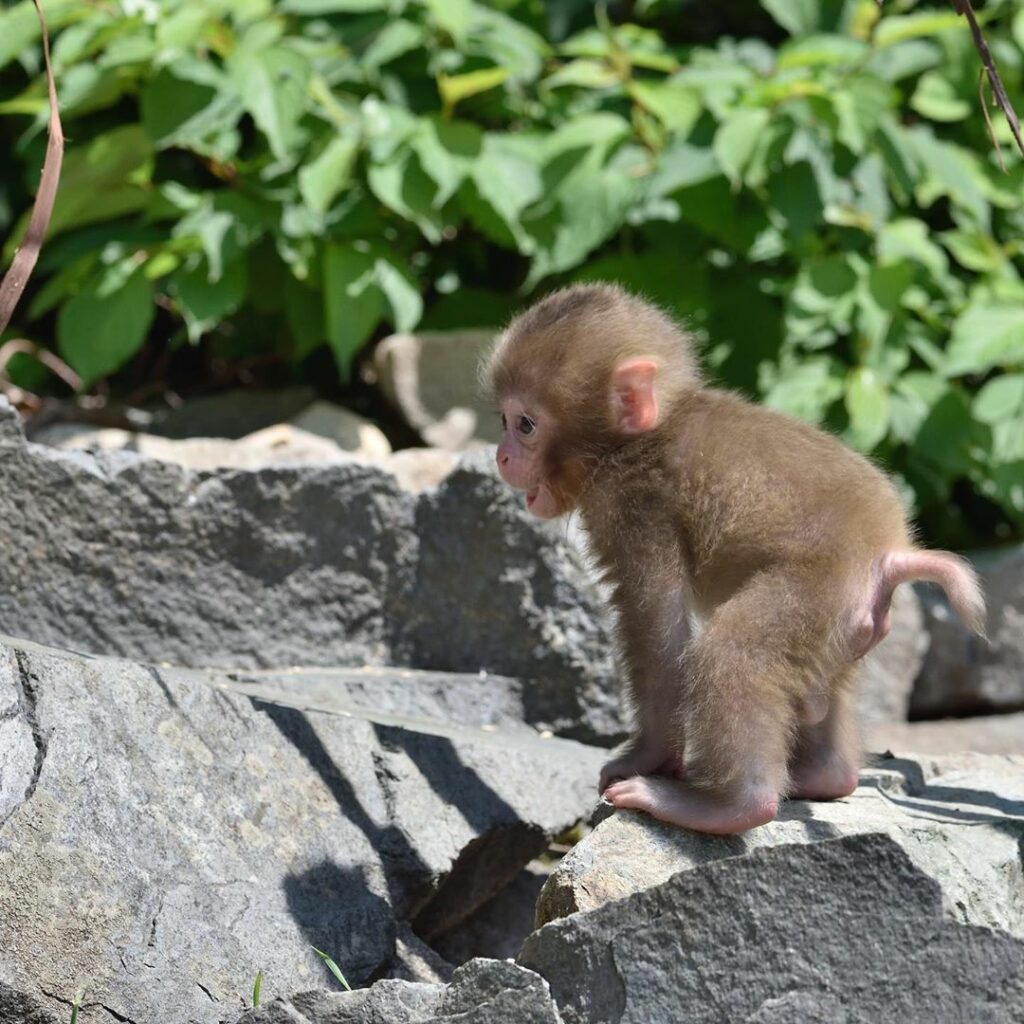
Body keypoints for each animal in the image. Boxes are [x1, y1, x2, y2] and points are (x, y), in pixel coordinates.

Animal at [483, 283, 985, 835]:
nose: (501, 455)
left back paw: (728, 805)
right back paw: (825, 777)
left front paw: (648, 756)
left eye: (525, 424)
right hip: (849, 628)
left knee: (732, 654)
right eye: (503, 420)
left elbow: (656, 625)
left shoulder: (632, 506)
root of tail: (887, 555)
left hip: (817, 591)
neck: (644, 435)